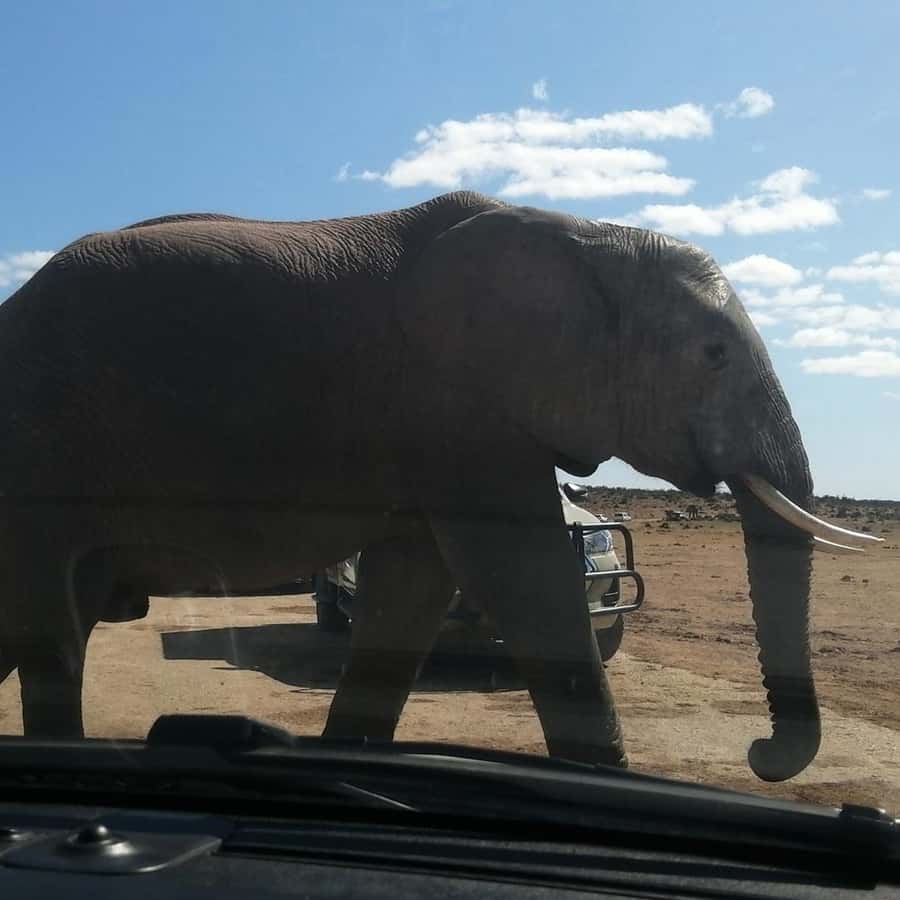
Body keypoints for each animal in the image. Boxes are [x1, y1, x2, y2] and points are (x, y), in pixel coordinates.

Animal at [0, 191, 877, 782]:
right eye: (714, 354)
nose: (761, 755)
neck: (586, 239)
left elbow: (414, 585)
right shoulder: (462, 406)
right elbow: (524, 578)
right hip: (41, 442)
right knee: (49, 613)